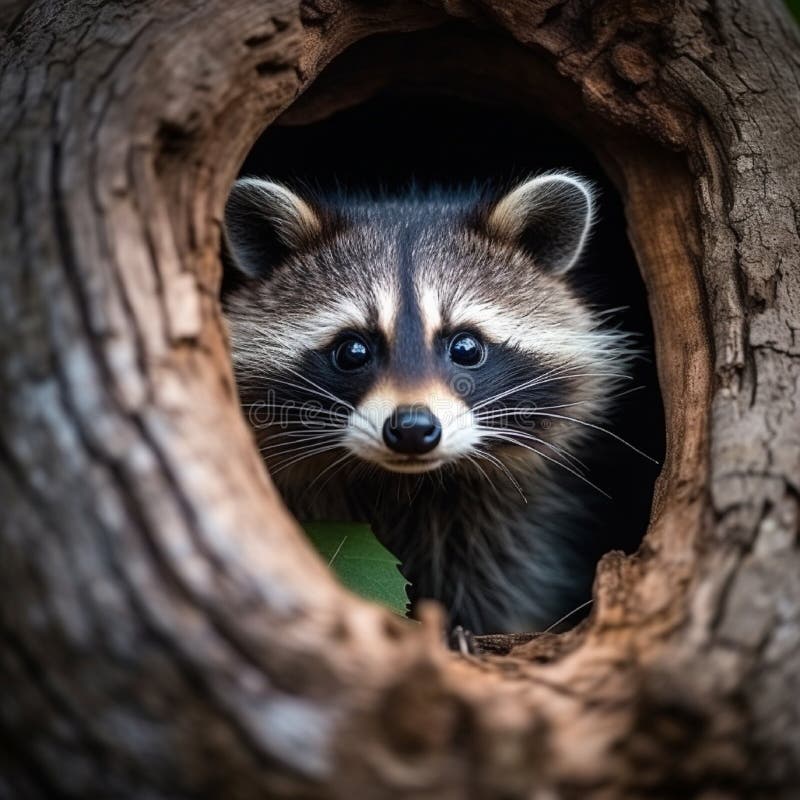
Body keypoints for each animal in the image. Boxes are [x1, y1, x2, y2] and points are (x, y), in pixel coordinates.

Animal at [222, 174, 643, 634]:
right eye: (352, 351)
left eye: (466, 347)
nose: (412, 429)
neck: (400, 483)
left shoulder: (506, 516)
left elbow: (500, 575)